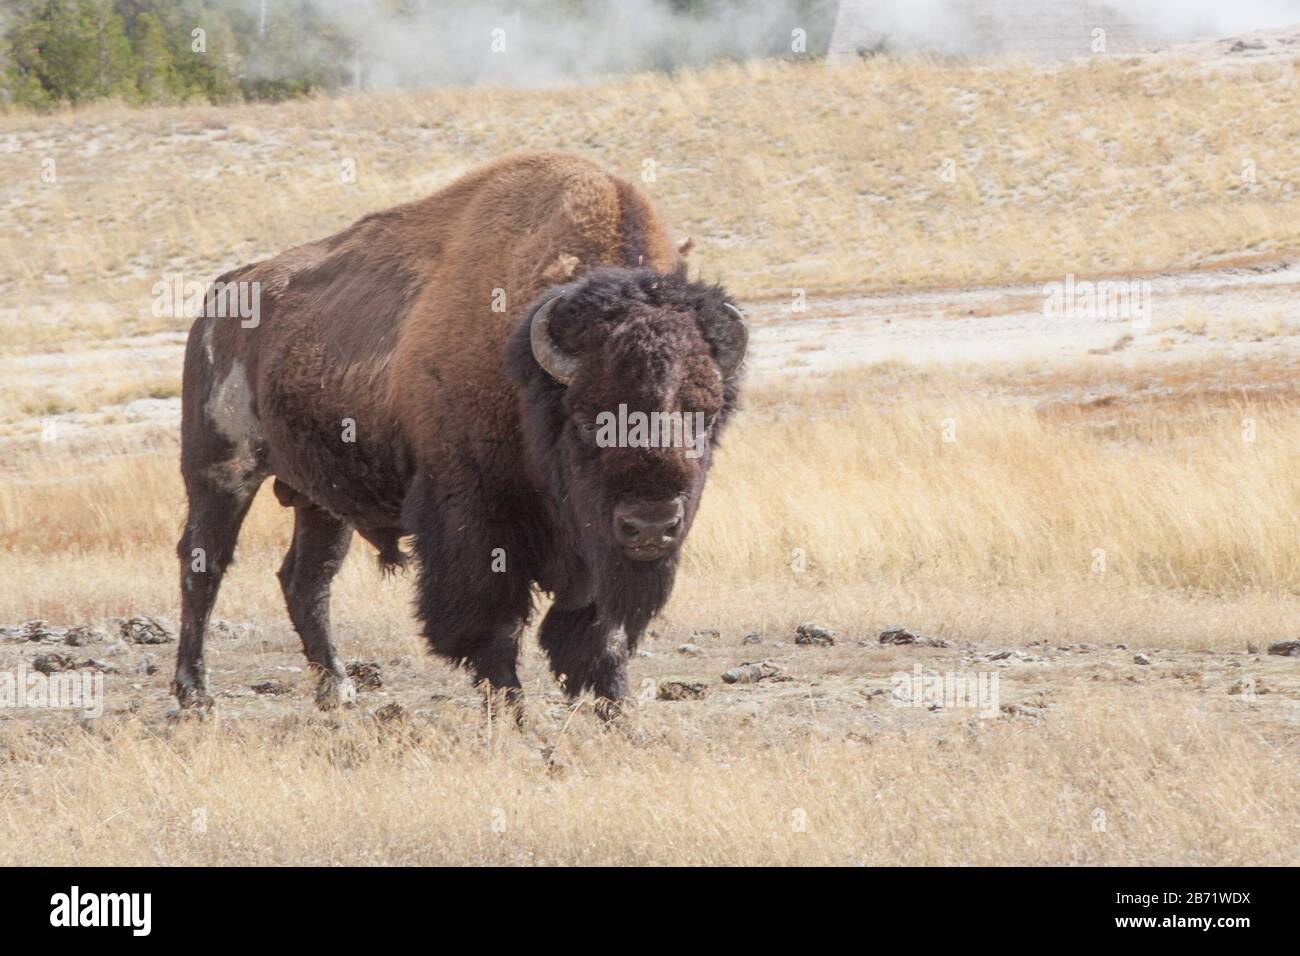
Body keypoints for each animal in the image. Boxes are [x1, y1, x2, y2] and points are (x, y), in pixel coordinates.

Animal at [173, 152, 747, 717]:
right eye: (588, 418)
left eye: (705, 416)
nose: (651, 526)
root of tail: (221, 297)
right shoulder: (475, 515)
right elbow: (493, 622)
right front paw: (513, 713)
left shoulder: (589, 544)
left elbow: (595, 628)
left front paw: (617, 707)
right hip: (221, 470)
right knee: (204, 564)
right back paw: (195, 695)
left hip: (320, 502)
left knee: (306, 580)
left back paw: (336, 689)